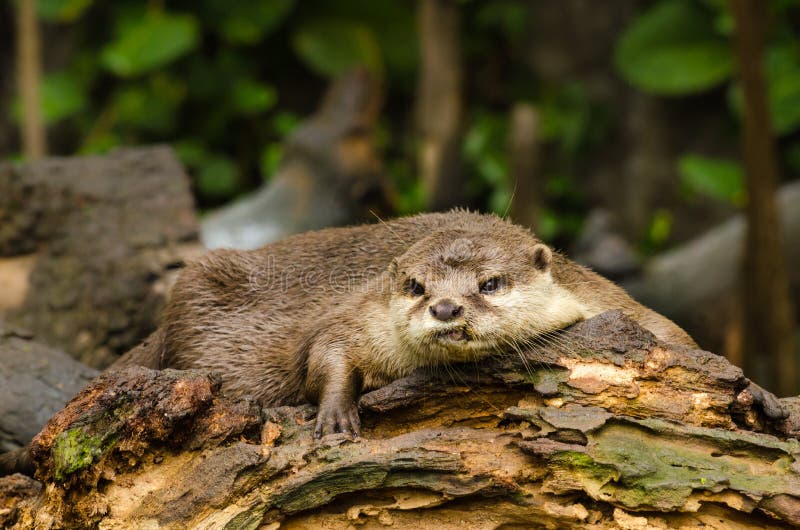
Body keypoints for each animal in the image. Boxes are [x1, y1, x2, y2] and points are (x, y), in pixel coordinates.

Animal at [114, 210, 696, 437]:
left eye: (490, 284)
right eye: (416, 287)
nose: (446, 308)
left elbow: (668, 331)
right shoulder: (358, 312)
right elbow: (325, 348)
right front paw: (336, 415)